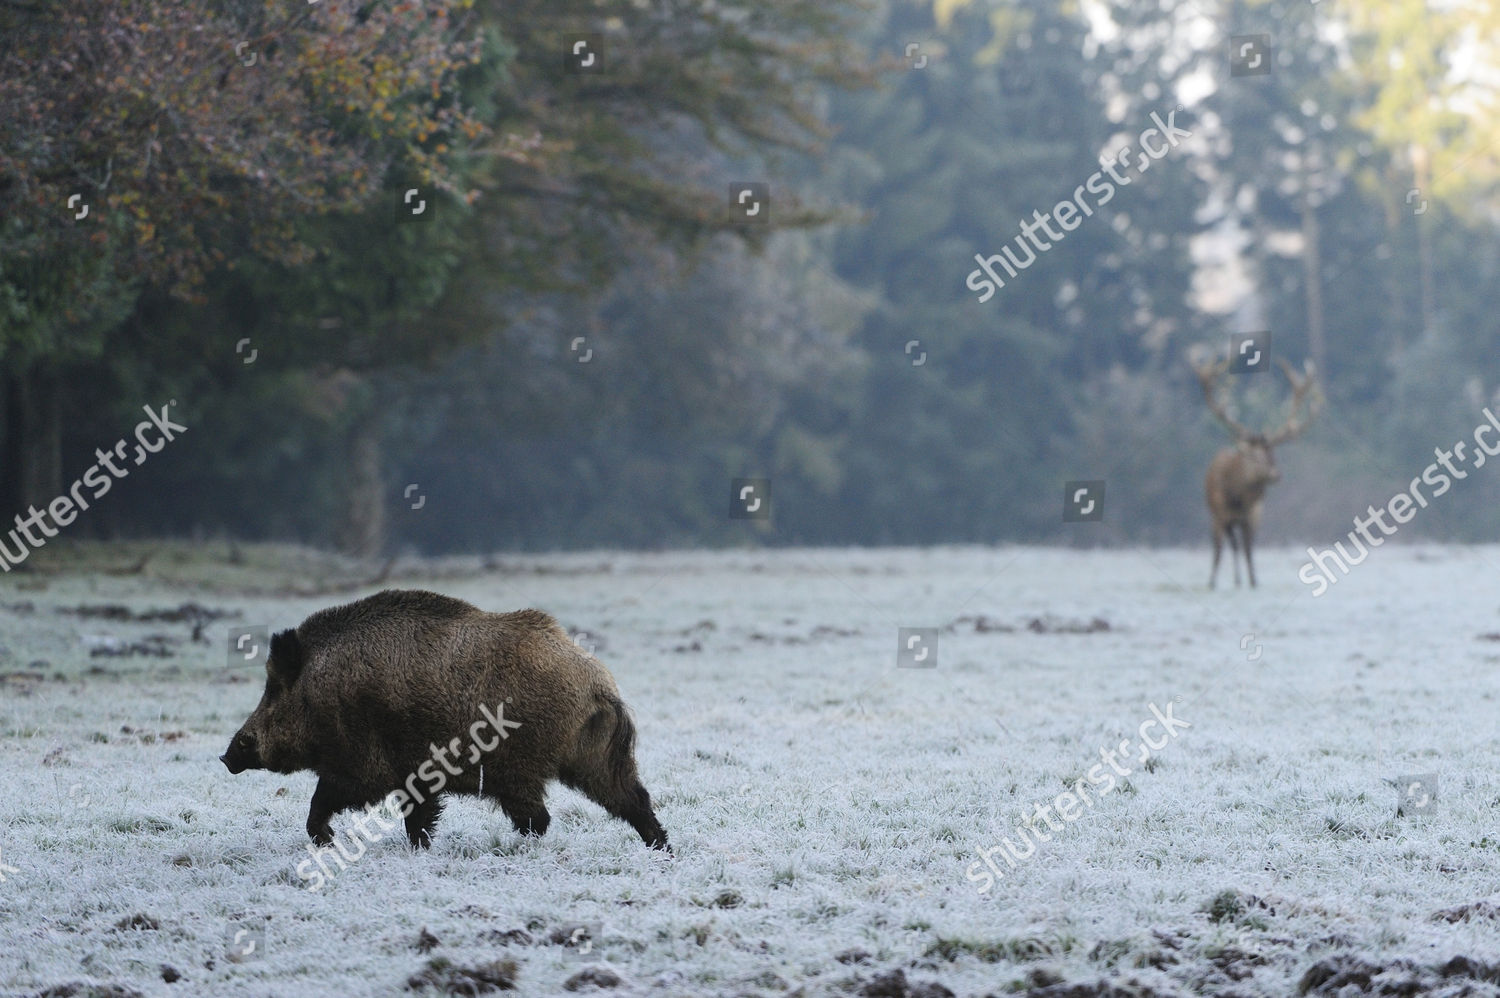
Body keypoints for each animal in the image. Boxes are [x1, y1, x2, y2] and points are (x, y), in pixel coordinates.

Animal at [220, 589, 670, 852]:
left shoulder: (362, 765)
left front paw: (326, 842)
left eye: (273, 689)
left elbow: (323, 799)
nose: (228, 756)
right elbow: (417, 817)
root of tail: (600, 684)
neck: (316, 692)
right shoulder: (414, 777)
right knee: (628, 798)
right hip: (591, 758)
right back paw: (662, 848)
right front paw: (420, 849)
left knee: (540, 817)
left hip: (522, 766)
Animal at [1192, 354, 1321, 589]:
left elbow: (1249, 551)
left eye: (1273, 454)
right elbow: (1217, 553)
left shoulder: (1251, 515)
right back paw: (1234, 580)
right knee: (1230, 546)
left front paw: (1253, 582)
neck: (1235, 497)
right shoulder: (1217, 515)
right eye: (1254, 456)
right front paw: (1211, 583)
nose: (1275, 474)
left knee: (1240, 547)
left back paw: (1240, 580)